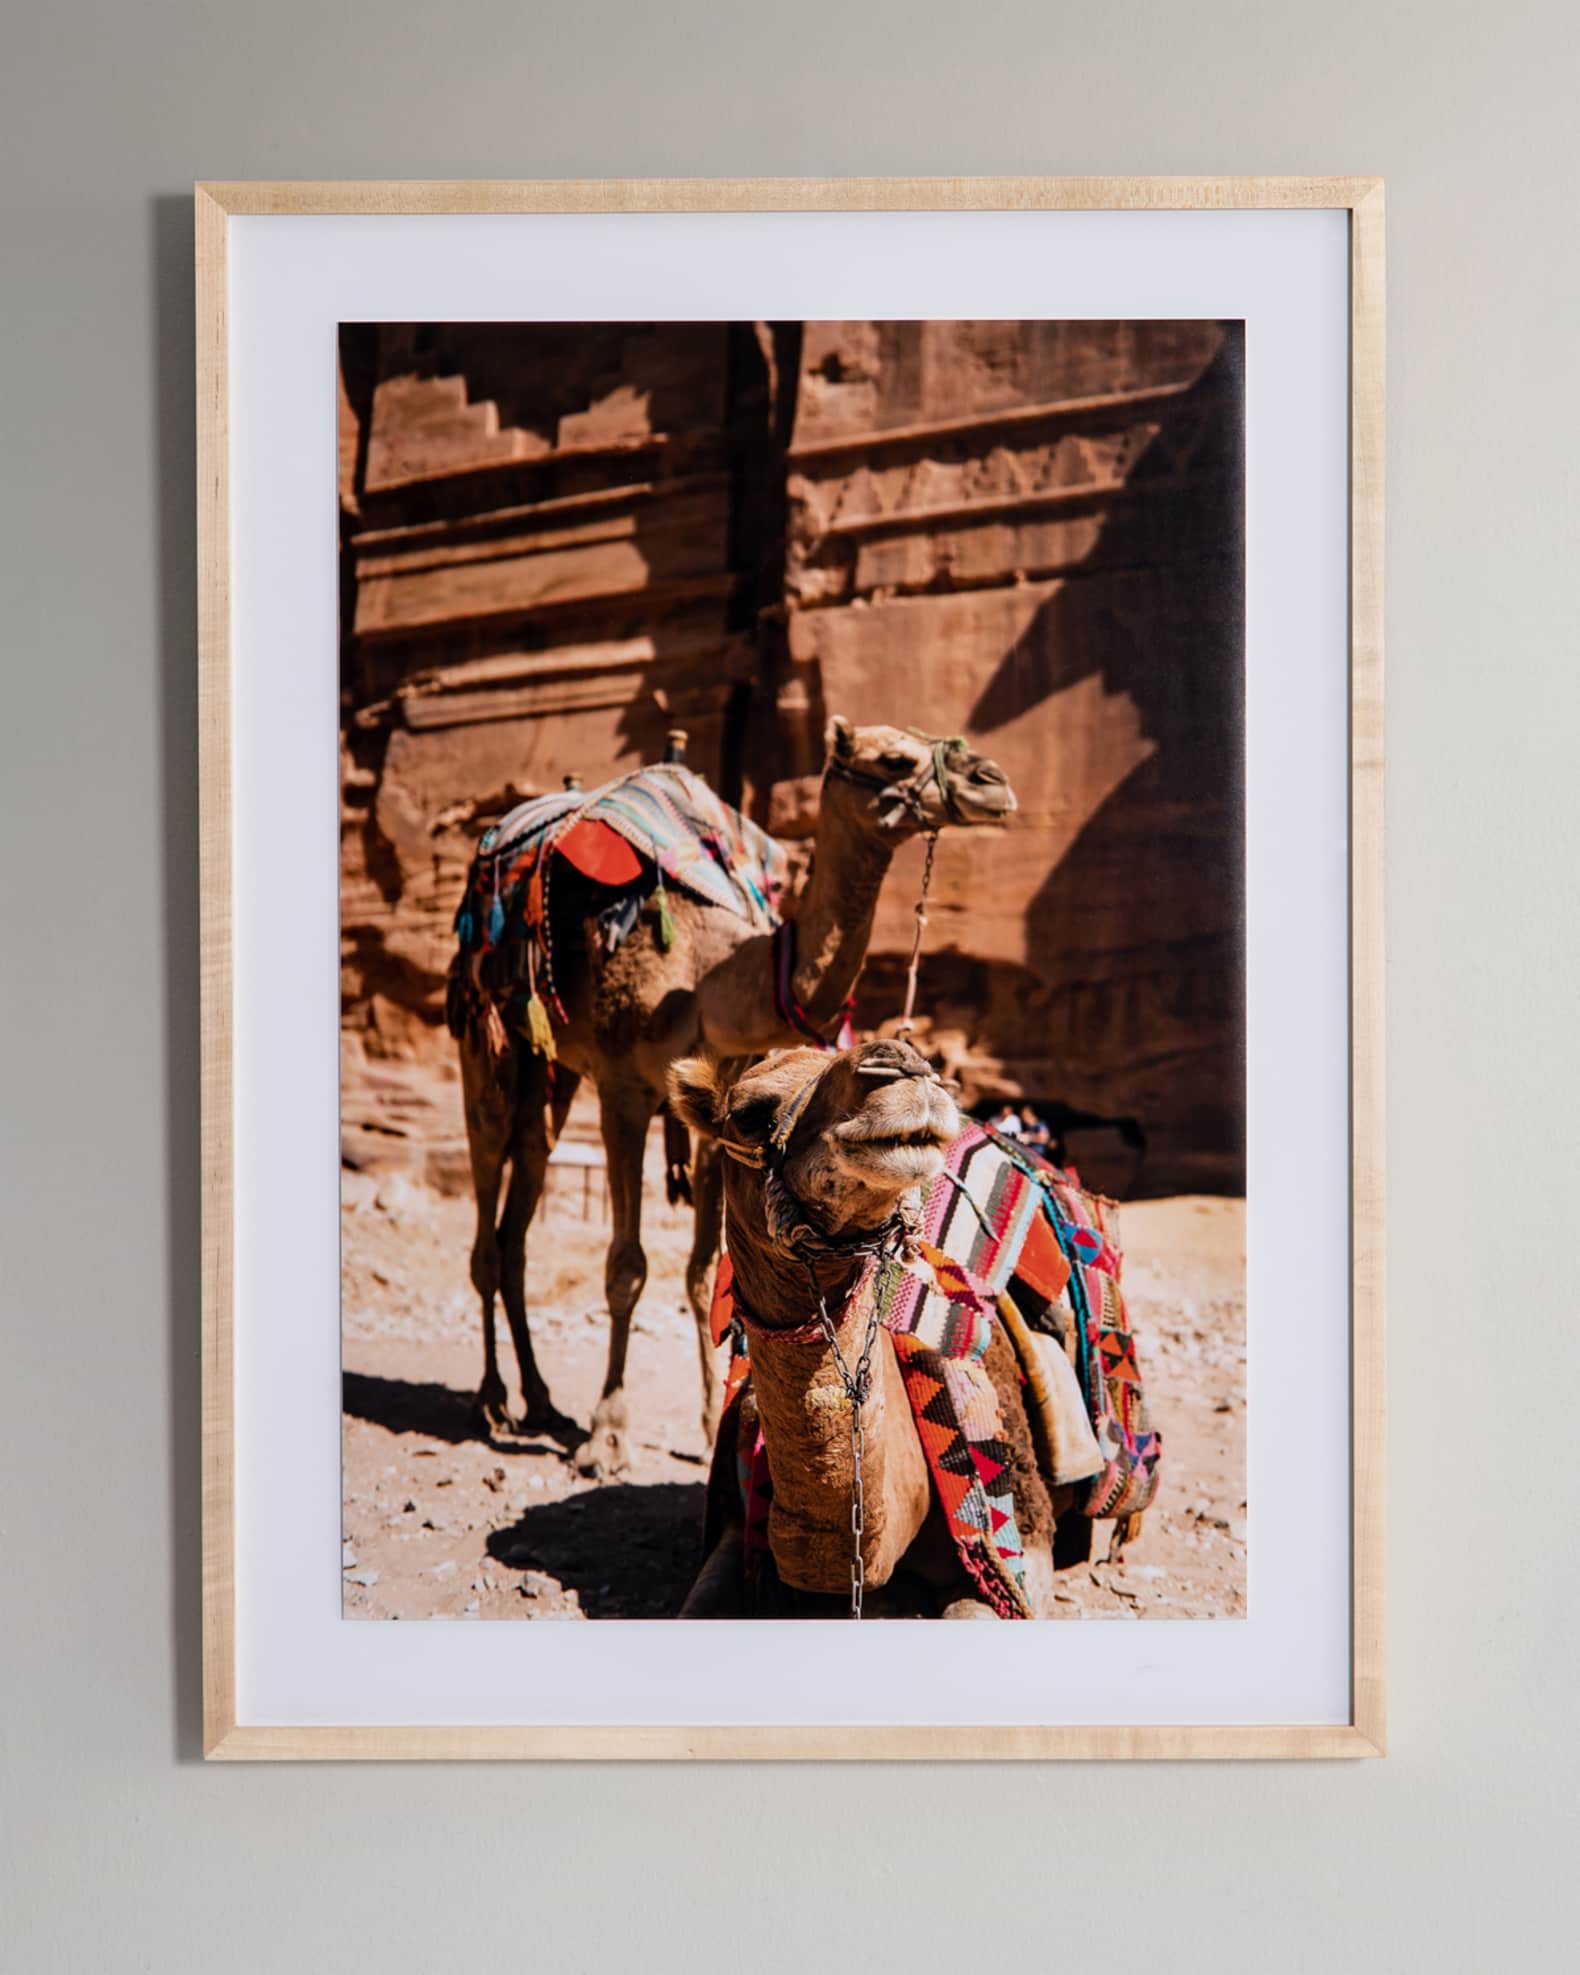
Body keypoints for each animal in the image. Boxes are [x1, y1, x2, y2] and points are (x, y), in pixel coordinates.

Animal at [452, 718, 1016, 1479]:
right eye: (893, 758)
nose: (992, 780)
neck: (708, 978)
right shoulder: (626, 1088)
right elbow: (627, 1267)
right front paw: (608, 1436)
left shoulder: (717, 1117)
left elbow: (698, 1271)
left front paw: (703, 1424)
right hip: (489, 1031)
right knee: (489, 1177)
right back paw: (491, 1398)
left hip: (553, 1069)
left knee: (526, 1182)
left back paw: (540, 1400)